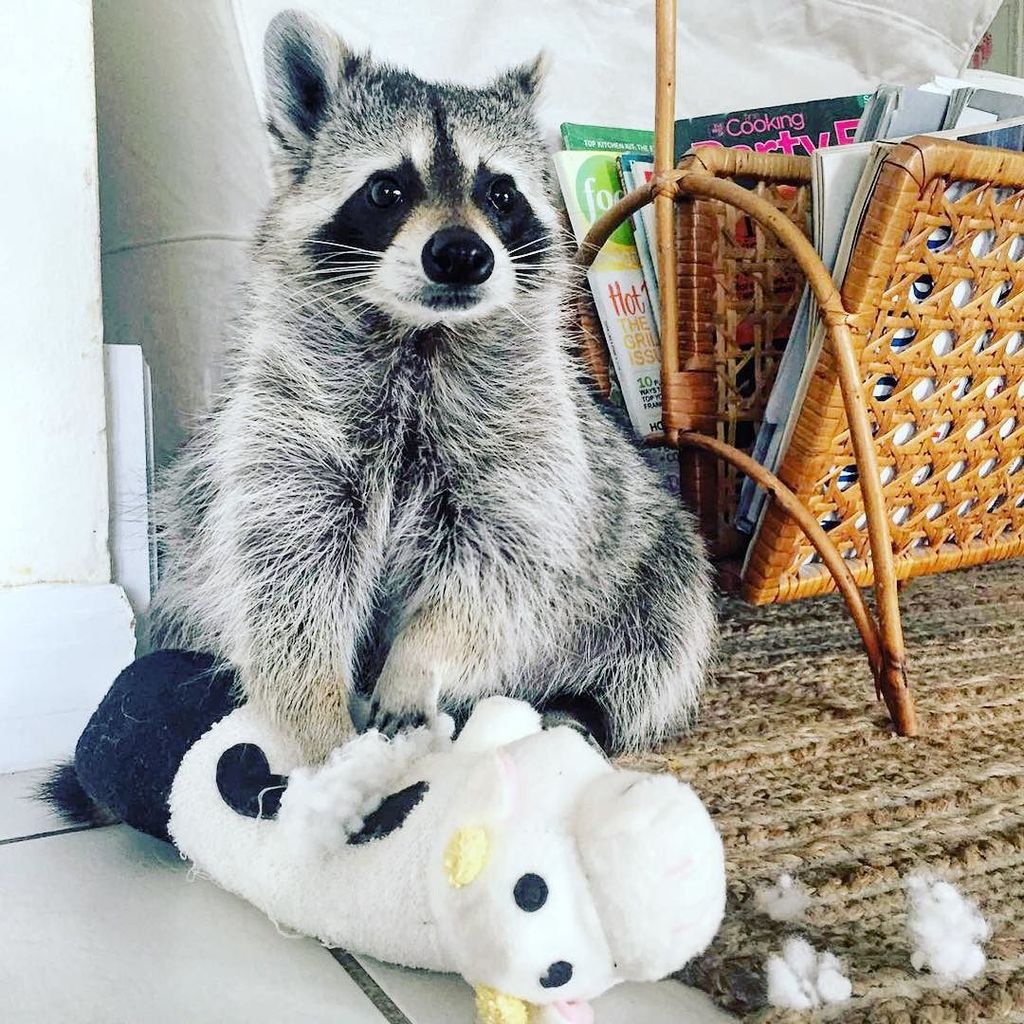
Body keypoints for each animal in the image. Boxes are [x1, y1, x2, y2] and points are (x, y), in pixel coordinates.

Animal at [151, 9, 717, 761]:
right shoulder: (285, 428)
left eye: (500, 193)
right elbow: (284, 577)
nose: (461, 254)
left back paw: (579, 711)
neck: (422, 336)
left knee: (663, 632)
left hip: (652, 549)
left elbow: (498, 572)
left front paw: (419, 661)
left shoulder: (533, 448)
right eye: (387, 190)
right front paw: (318, 716)